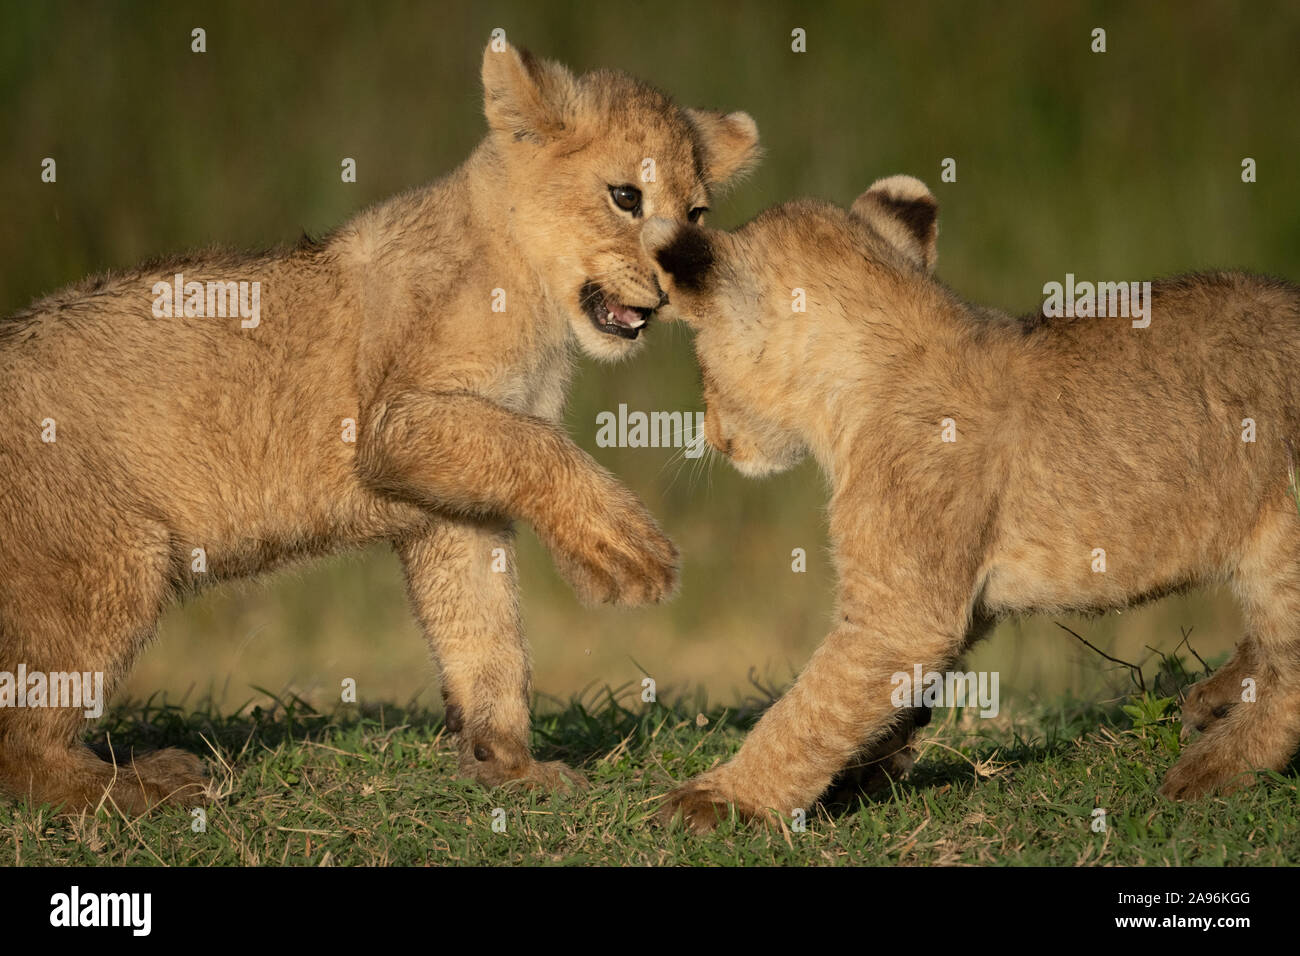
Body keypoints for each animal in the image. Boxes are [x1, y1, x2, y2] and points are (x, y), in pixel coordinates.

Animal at [0, 38, 759, 813]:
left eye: (697, 214)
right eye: (626, 196)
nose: (671, 286)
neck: (534, 291)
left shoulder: (453, 507)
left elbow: (486, 632)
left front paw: (510, 764)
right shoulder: (394, 424)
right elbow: (543, 446)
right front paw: (627, 553)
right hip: (109, 560)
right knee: (23, 746)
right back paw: (142, 786)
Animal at [642, 175, 1300, 831]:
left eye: (701, 362)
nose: (714, 435)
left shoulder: (901, 609)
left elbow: (811, 707)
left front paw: (722, 798)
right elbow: (883, 695)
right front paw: (864, 769)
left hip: (1283, 534)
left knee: (1290, 674)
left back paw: (1210, 767)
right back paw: (1215, 699)